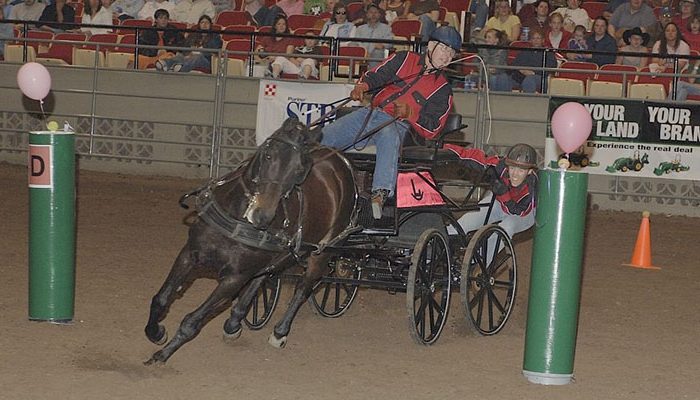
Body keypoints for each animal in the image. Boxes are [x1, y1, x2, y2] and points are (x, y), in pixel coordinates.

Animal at [144, 118, 357, 364]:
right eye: (268, 155)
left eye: (300, 170)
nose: (262, 215)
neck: (238, 218)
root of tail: (340, 160)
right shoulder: (190, 254)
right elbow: (161, 298)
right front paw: (156, 332)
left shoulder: (234, 278)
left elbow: (192, 322)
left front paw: (162, 354)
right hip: (279, 253)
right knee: (264, 276)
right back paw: (233, 323)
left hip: (322, 252)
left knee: (303, 288)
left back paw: (279, 332)